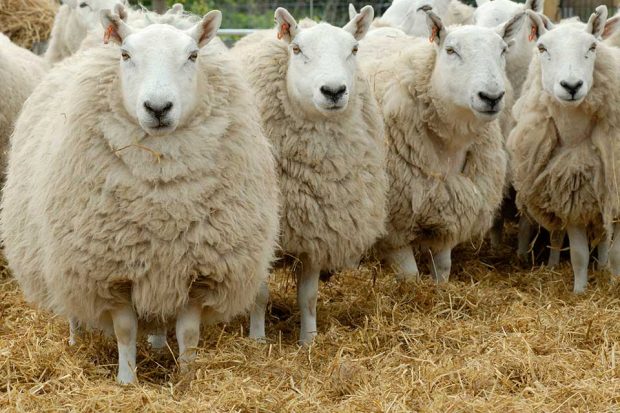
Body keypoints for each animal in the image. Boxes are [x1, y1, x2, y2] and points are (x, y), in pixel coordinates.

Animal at [232, 6, 388, 344]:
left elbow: (309, 296)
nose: (333, 91)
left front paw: (309, 340)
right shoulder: (264, 234)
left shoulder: (317, 226)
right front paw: (257, 340)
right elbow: (259, 295)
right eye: (297, 49)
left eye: (354, 49)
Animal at [358, 10, 520, 280]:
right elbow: (410, 275)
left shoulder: (450, 205)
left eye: (503, 50)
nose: (492, 97)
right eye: (451, 50)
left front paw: (440, 286)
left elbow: (444, 267)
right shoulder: (395, 222)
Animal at [508, 8, 620, 294]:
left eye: (592, 47)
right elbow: (579, 254)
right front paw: (579, 292)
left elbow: (617, 253)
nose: (571, 86)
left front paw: (614, 281)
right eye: (542, 47)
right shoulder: (571, 188)